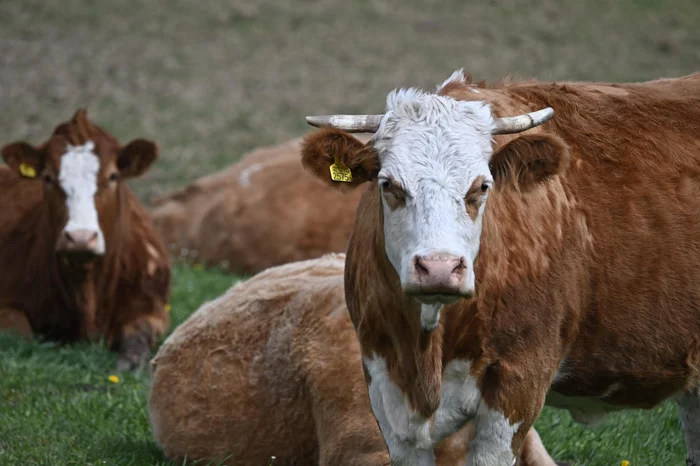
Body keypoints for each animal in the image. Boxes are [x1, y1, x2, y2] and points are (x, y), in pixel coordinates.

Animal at [0, 109, 171, 371]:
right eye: (48, 178)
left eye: (113, 176)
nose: (80, 237)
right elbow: (20, 333)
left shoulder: (154, 306)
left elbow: (139, 331)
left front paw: (132, 361)